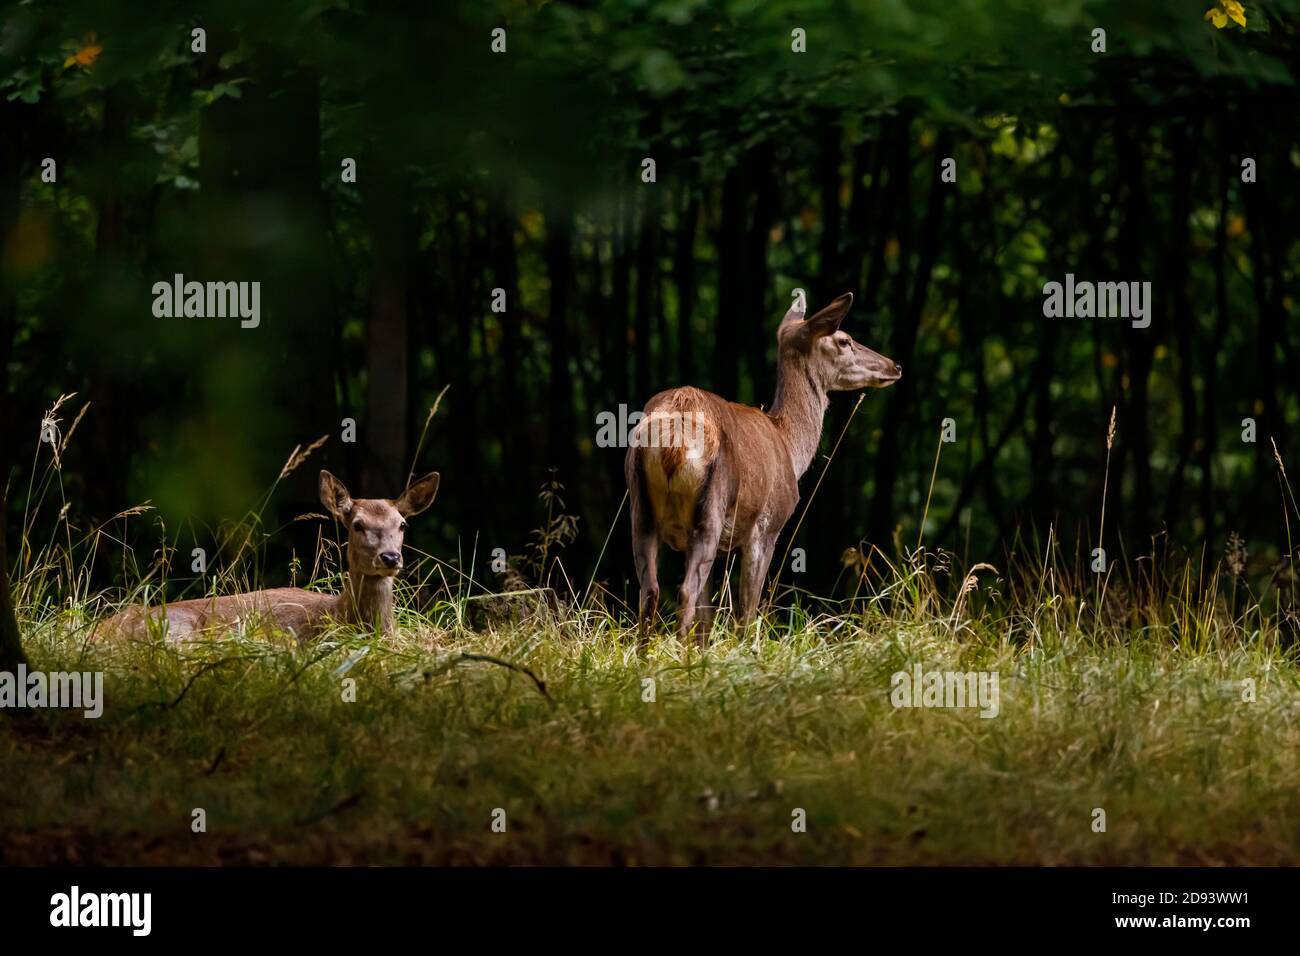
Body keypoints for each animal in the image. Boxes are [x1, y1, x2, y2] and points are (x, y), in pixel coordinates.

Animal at [625, 291, 900, 645]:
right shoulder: (768, 525)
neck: (789, 446)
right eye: (844, 340)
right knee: (685, 592)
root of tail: (674, 441)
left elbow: (707, 615)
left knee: (651, 592)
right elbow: (748, 612)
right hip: (712, 508)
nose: (894, 365)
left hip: (639, 505)